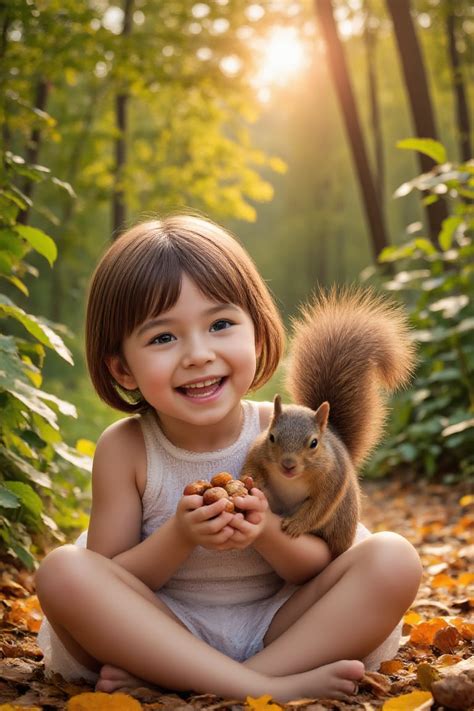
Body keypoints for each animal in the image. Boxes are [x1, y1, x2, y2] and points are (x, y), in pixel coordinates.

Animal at [241, 287, 415, 558]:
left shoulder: (333, 479)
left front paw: (295, 525)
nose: (288, 465)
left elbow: (320, 507)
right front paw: (249, 481)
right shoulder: (258, 452)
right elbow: (252, 466)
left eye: (314, 443)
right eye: (271, 437)